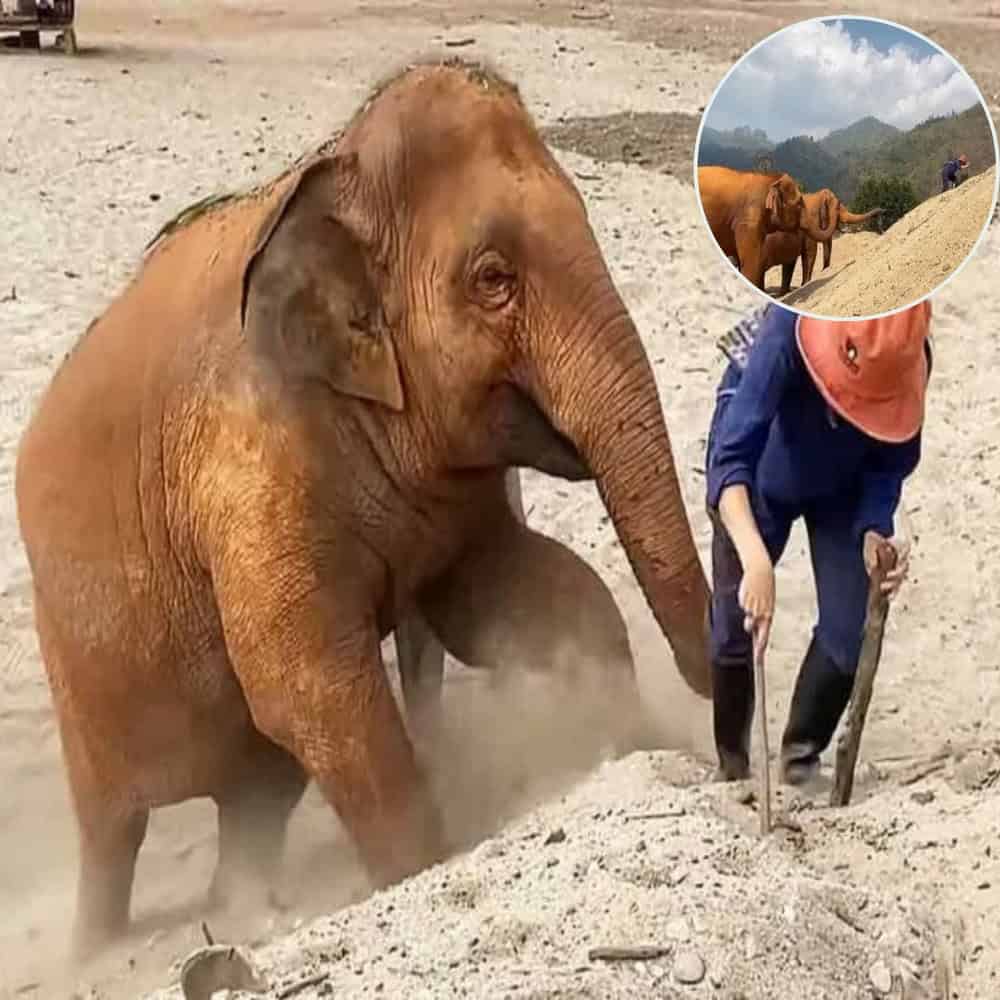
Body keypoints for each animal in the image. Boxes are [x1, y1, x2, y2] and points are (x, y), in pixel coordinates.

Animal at [15, 58, 712, 962]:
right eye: (493, 278)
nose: (724, 733)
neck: (330, 170)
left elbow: (522, 595)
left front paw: (619, 745)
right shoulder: (247, 461)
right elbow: (309, 686)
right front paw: (424, 863)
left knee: (255, 796)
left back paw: (241, 906)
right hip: (74, 670)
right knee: (113, 832)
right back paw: (96, 953)